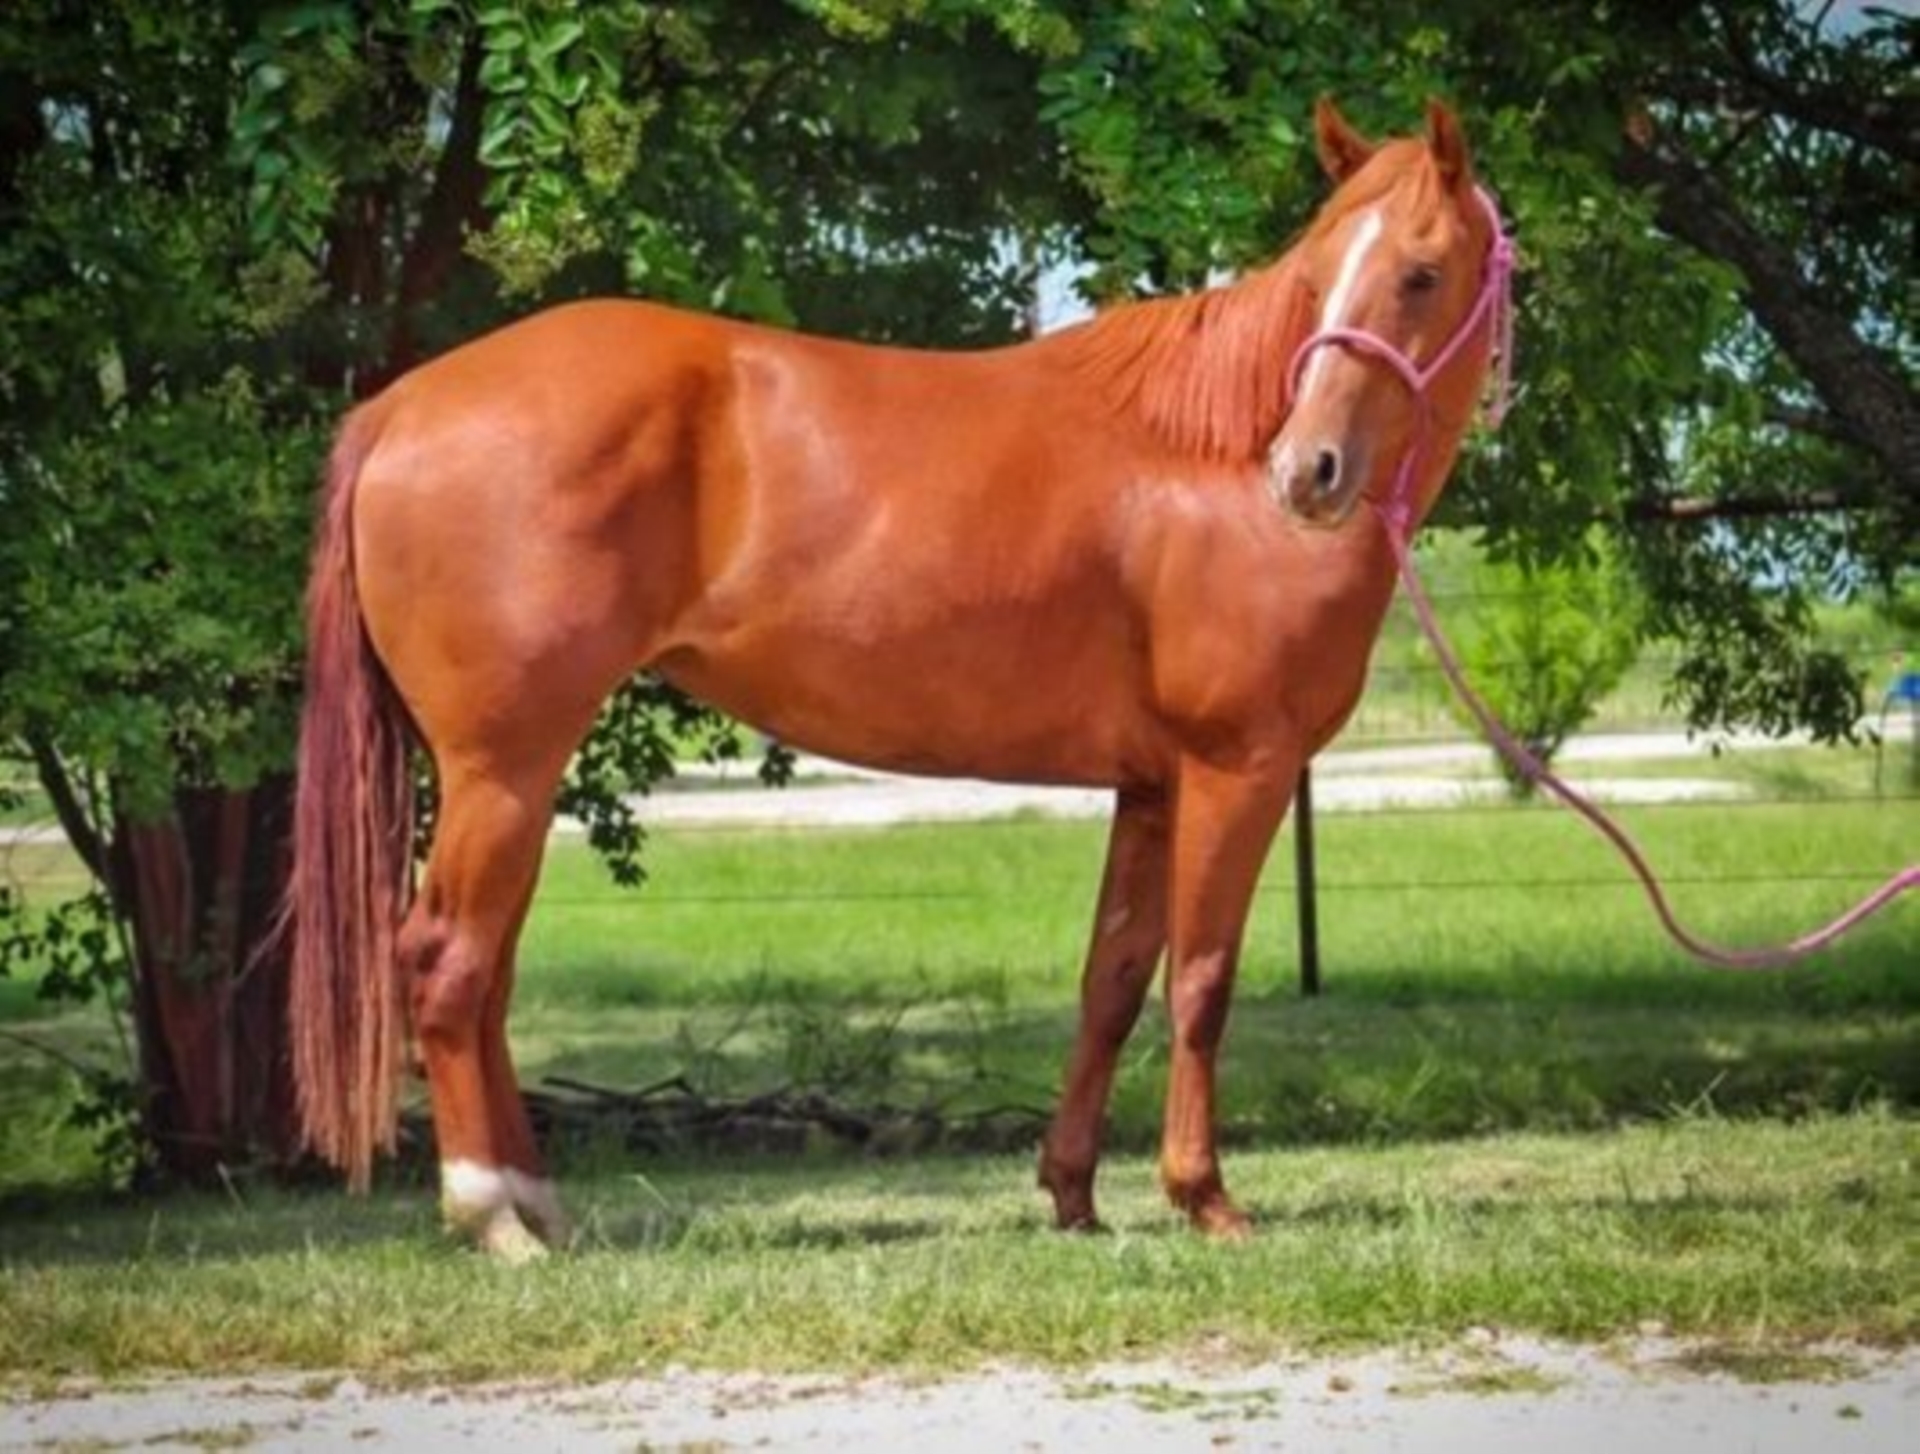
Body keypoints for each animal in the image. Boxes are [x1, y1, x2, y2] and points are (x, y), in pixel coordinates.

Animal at [288, 97, 1509, 1260]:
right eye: (1317, 274)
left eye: (1417, 272)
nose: (1309, 472)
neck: (1204, 454)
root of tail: (402, 406)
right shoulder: (1235, 769)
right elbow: (1201, 983)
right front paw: (1203, 1199)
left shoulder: (1153, 787)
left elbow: (1112, 982)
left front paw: (1074, 1194)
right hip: (501, 767)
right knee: (448, 963)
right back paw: (493, 1219)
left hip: (513, 781)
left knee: (488, 973)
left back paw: (540, 1207)